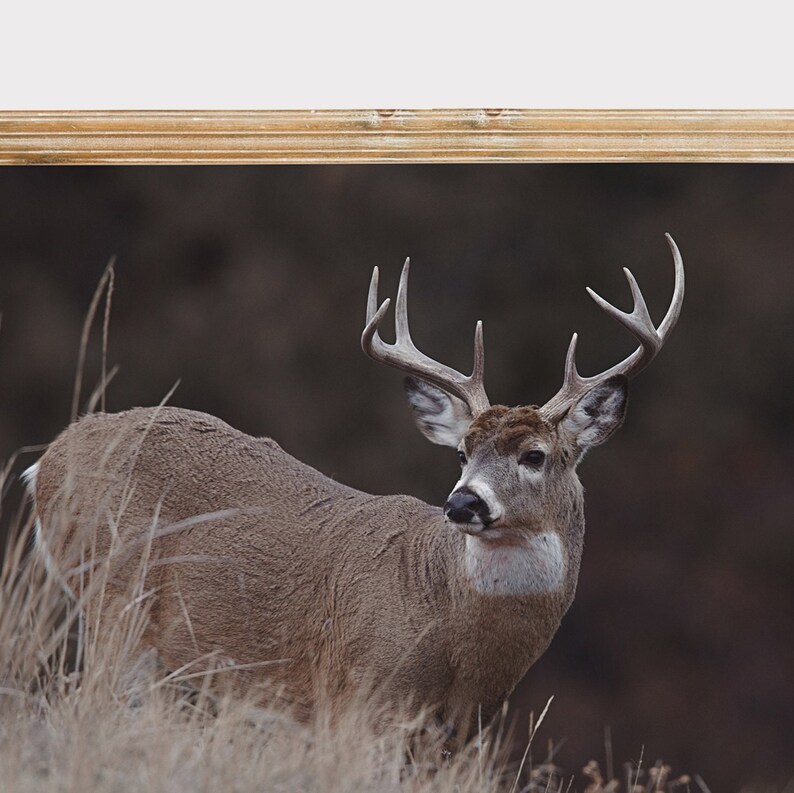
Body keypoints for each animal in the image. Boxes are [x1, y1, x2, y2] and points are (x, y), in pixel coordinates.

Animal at [24, 234, 684, 738]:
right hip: (114, 600)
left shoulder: (456, 735)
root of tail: (49, 461)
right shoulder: (361, 696)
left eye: (535, 455)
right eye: (463, 452)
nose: (462, 502)